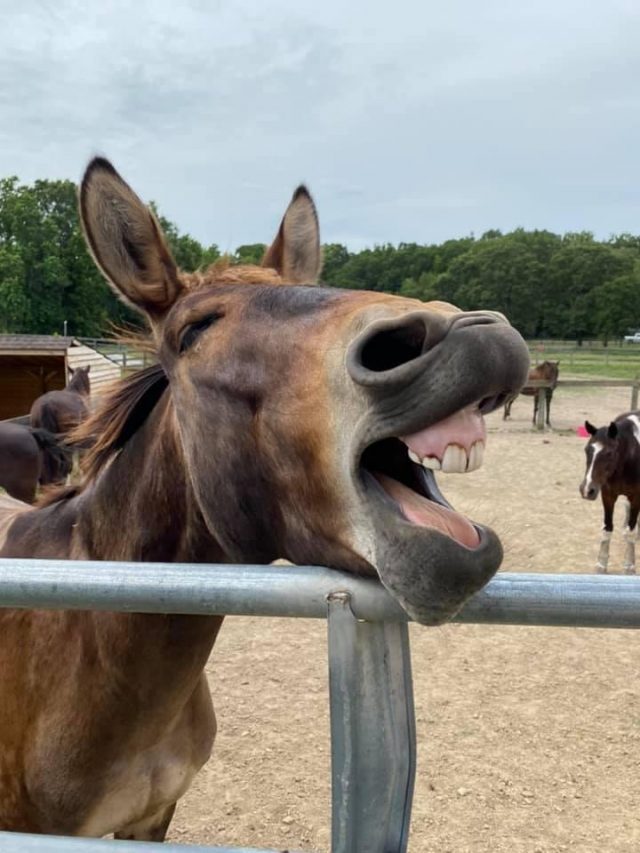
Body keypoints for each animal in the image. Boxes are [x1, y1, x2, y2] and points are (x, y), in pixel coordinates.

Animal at [579, 413, 640, 573]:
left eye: (609, 453)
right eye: (587, 450)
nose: (586, 490)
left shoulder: (636, 497)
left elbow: (630, 531)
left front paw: (629, 565)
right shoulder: (608, 496)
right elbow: (607, 529)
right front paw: (601, 564)